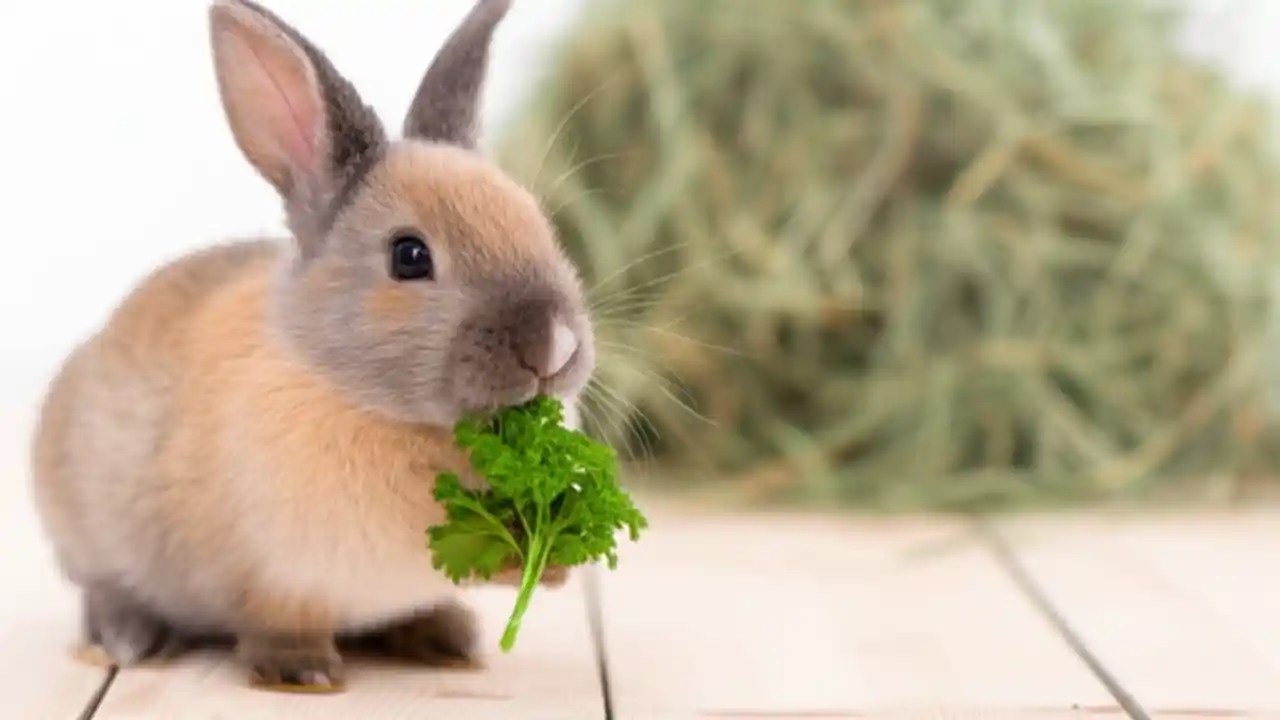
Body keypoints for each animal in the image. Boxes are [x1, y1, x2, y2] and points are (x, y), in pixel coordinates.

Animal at [31, 0, 594, 693]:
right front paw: (302, 672)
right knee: (104, 589)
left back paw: (448, 637)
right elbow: (283, 617)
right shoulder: (292, 571)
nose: (555, 346)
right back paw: (131, 642)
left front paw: (555, 565)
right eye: (410, 256)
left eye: (538, 221)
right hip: (90, 534)